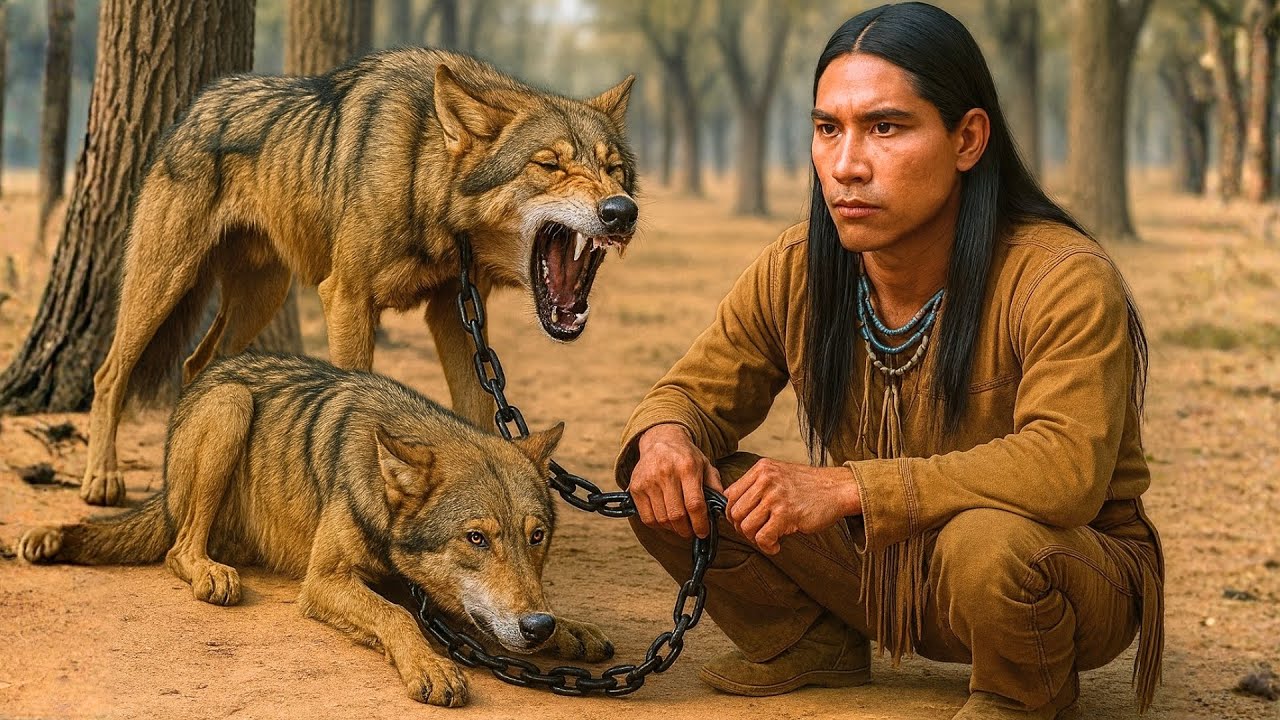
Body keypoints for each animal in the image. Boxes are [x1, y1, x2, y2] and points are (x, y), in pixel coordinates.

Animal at [20, 353, 612, 707]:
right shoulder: (325, 581)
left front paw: (570, 629)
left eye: (536, 537)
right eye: (476, 538)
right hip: (230, 407)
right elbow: (397, 616)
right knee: (179, 549)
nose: (536, 626)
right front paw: (432, 666)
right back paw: (212, 573)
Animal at [82, 47, 639, 506]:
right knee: (110, 374)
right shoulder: (346, 298)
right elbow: (355, 395)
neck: (423, 173)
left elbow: (478, 411)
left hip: (262, 297)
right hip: (163, 282)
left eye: (614, 170)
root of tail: (195, 106)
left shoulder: (455, 312)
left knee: (198, 363)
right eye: (549, 165)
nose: (622, 211)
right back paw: (102, 480)